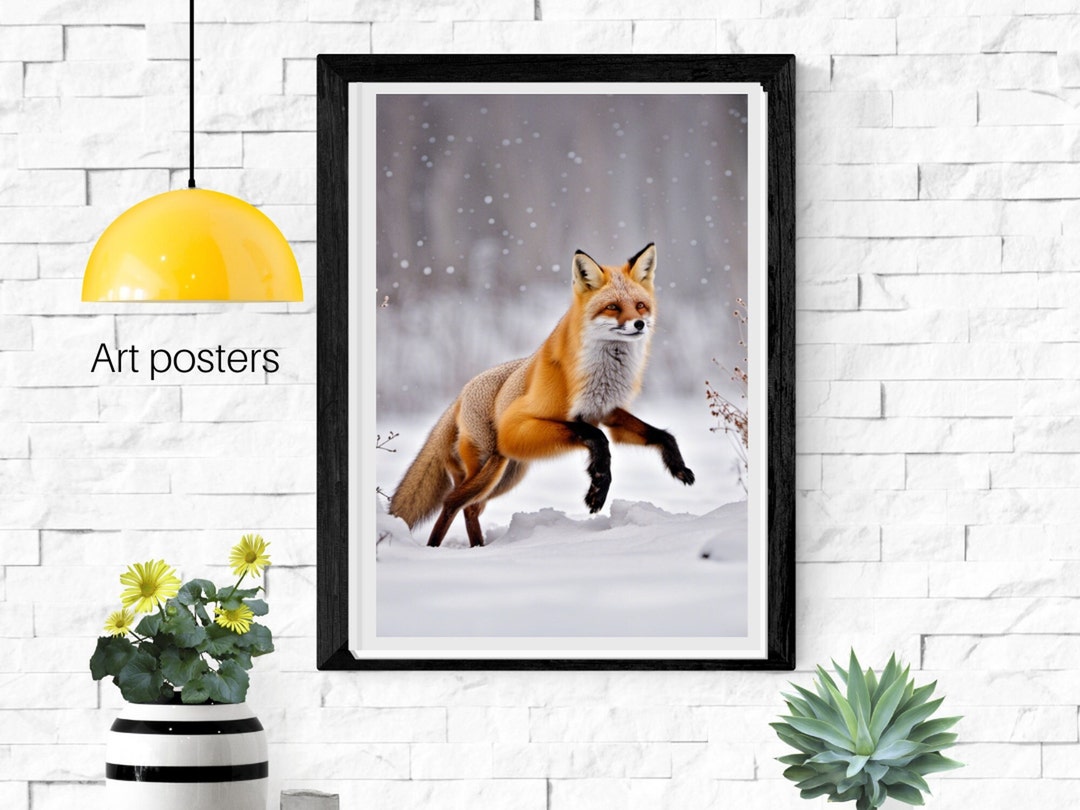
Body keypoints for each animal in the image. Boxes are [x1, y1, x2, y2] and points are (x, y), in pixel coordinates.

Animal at [389, 242, 695, 548]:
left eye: (640, 305)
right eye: (613, 307)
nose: (639, 324)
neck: (600, 377)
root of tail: (460, 395)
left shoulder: (607, 411)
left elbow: (660, 435)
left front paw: (677, 466)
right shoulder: (521, 425)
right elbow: (596, 438)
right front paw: (597, 488)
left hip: (509, 473)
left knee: (470, 507)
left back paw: (478, 547)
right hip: (493, 464)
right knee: (453, 502)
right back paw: (440, 548)